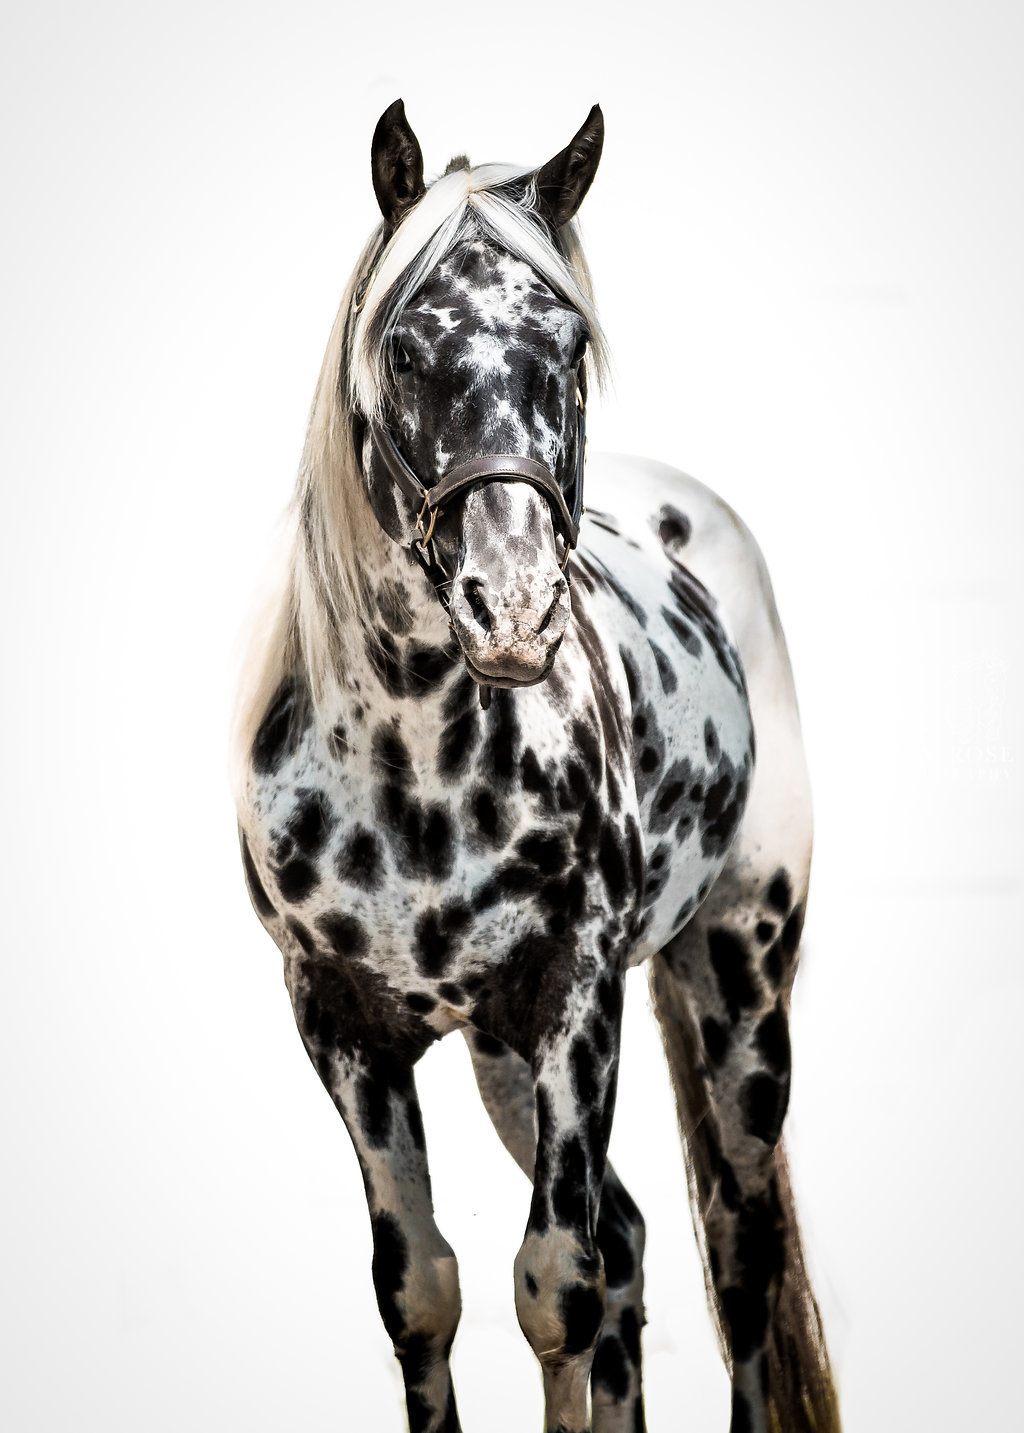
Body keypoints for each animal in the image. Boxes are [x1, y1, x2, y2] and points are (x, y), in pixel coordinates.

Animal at [232, 100, 841, 1433]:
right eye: (405, 349)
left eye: (566, 344)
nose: (509, 604)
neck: (415, 779)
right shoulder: (342, 1025)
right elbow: (425, 1291)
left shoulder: (575, 998)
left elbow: (555, 1285)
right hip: (505, 1057)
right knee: (634, 1239)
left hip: (736, 985)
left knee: (738, 1250)